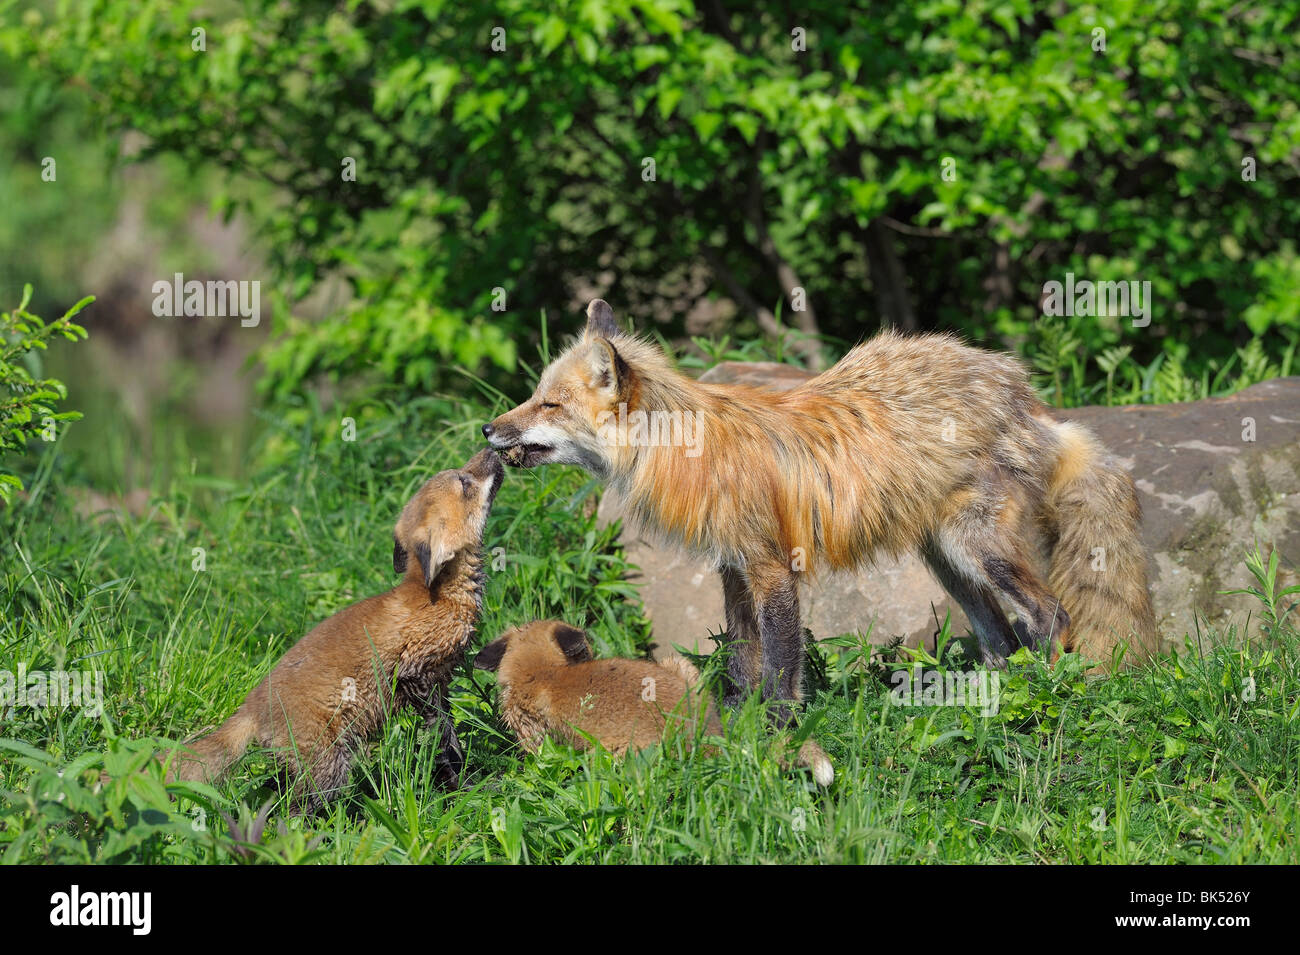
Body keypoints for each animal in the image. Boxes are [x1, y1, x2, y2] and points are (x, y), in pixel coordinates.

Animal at [164, 448, 504, 811]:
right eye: (464, 482)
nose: (490, 449)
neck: (439, 598)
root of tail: (251, 709)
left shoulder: (439, 681)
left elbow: (448, 740)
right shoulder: (416, 674)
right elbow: (445, 740)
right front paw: (464, 786)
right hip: (329, 766)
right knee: (296, 810)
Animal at [473, 619, 835, 786]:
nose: (591, 653)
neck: (542, 672)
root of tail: (708, 736)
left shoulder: (538, 742)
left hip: (615, 759)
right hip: (680, 667)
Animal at [483, 299, 1159, 717]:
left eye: (549, 405)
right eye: (534, 396)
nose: (489, 430)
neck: (689, 448)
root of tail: (1023, 392)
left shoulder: (774, 567)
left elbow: (782, 668)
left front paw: (778, 735)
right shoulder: (734, 568)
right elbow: (744, 660)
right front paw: (737, 724)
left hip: (975, 547)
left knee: (1050, 616)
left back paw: (1044, 692)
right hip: (946, 559)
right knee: (999, 638)